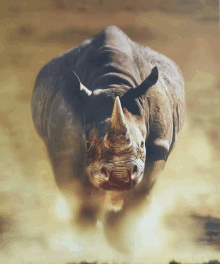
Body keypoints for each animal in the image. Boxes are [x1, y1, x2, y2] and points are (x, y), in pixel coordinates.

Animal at [31, 24, 186, 250]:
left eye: (142, 144)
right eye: (87, 144)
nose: (118, 176)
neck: (112, 84)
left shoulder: (158, 146)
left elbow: (140, 192)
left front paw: (119, 235)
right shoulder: (64, 148)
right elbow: (79, 195)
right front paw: (86, 239)